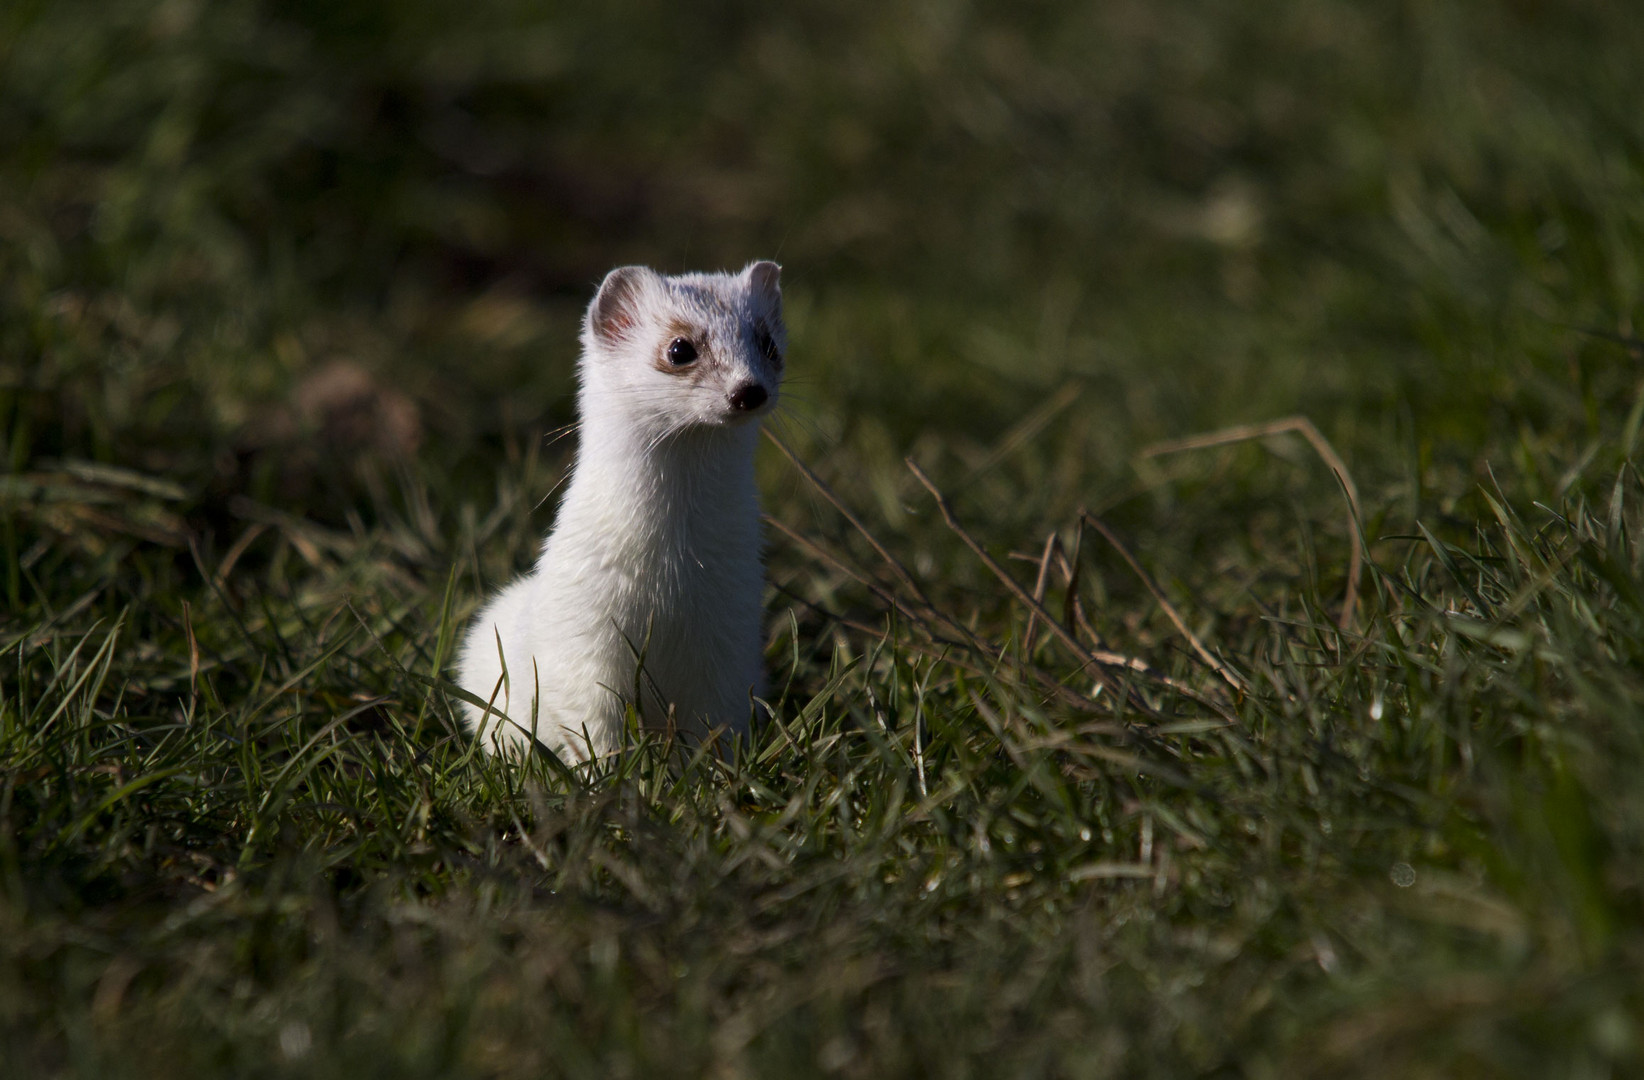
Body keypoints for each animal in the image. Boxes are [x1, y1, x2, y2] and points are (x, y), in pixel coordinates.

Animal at [450, 261, 782, 759]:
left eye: (768, 342)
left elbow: (715, 724)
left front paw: (712, 769)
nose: (749, 390)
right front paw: (605, 769)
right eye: (680, 348)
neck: (672, 577)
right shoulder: (586, 638)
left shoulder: (730, 635)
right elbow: (593, 723)